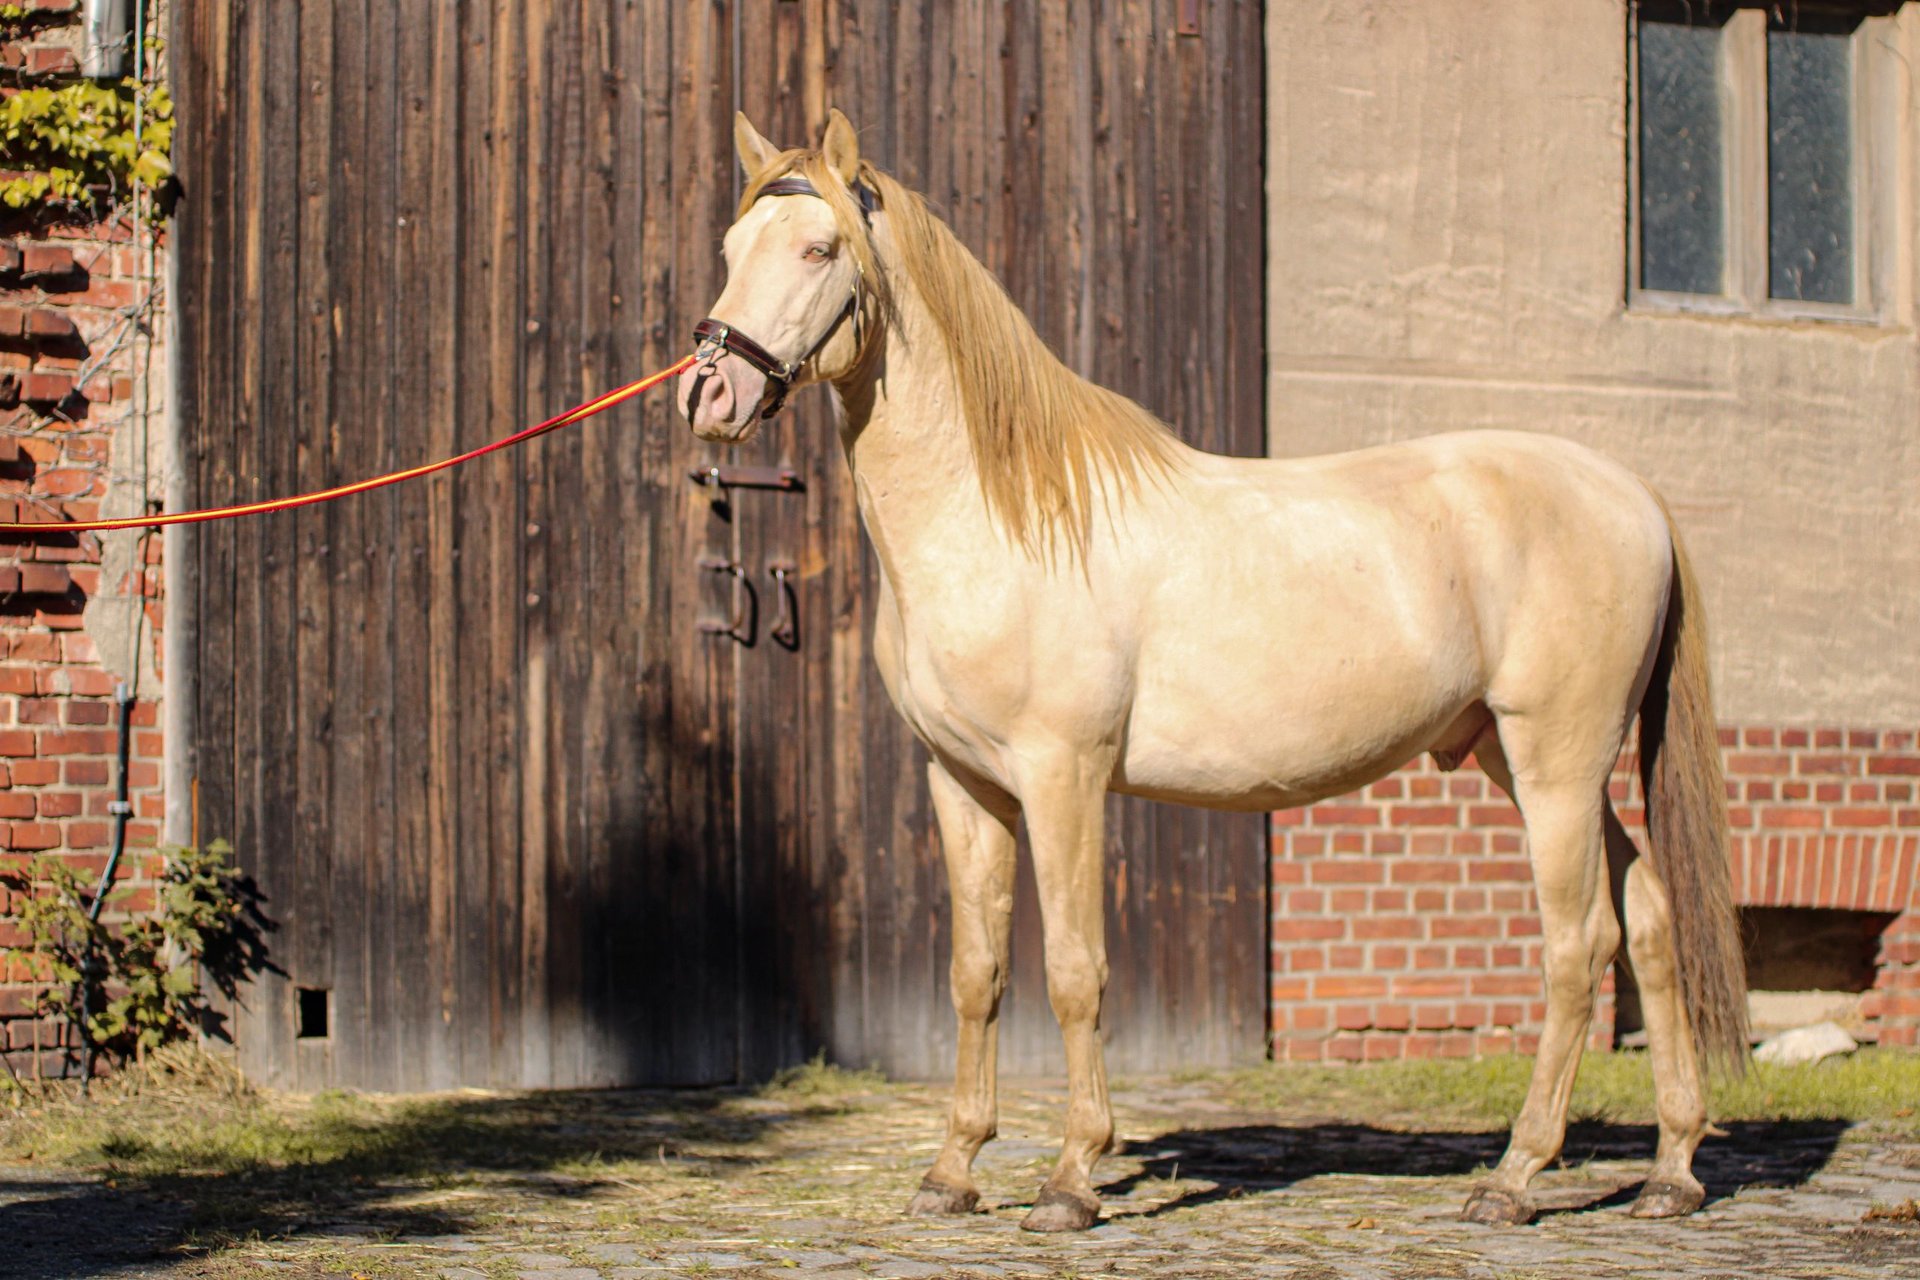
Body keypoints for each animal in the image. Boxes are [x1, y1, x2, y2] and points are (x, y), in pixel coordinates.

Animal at [680, 109, 1747, 1233]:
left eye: (818, 248)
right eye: (731, 248)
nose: (709, 390)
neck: (999, 516)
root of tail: (1633, 492)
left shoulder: (1063, 777)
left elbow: (1074, 970)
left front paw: (1072, 1177)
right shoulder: (964, 784)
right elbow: (978, 972)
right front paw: (953, 1171)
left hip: (1557, 767)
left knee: (1579, 947)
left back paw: (1515, 1175)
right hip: (1532, 762)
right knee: (1651, 919)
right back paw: (1673, 1170)